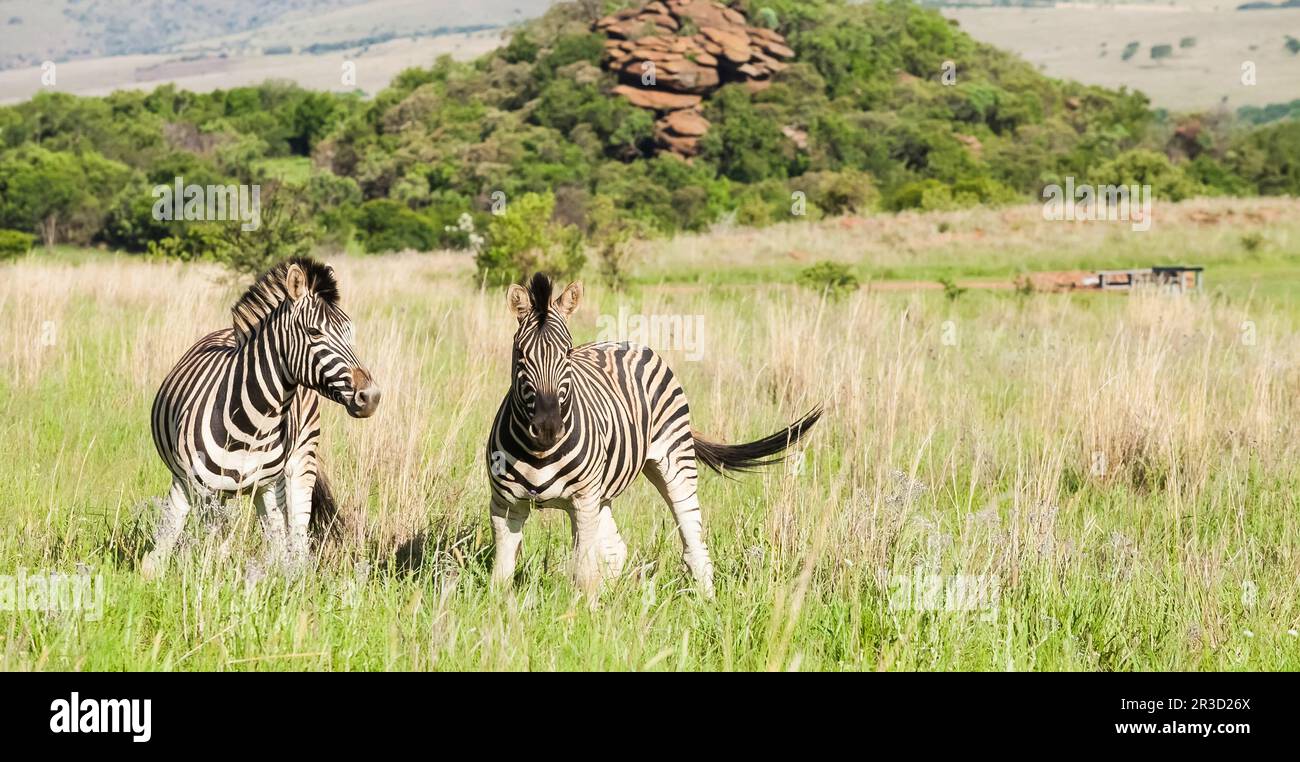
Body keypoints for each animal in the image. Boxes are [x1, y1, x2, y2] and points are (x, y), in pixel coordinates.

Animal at [142, 257, 381, 578]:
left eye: (349, 333)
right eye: (314, 333)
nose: (371, 396)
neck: (254, 423)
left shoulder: (269, 485)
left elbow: (277, 546)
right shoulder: (205, 490)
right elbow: (206, 549)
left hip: (300, 463)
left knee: (296, 538)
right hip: (198, 485)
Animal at [486, 273, 821, 597]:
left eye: (567, 353)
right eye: (520, 354)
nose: (547, 427)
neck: (540, 453)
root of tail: (625, 341)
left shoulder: (583, 502)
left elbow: (583, 574)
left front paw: (580, 613)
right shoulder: (505, 506)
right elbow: (501, 578)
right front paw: (504, 612)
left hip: (675, 461)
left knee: (693, 541)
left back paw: (706, 604)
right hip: (603, 491)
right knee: (615, 549)